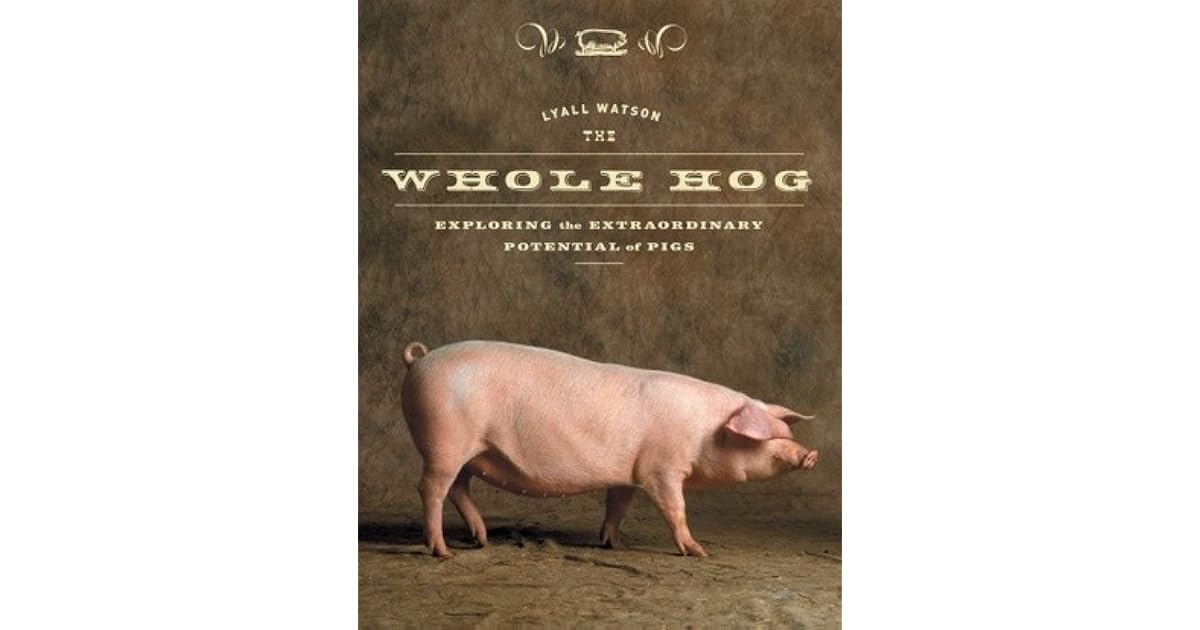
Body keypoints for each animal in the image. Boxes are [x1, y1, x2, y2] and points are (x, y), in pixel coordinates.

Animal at [399, 340, 819, 558]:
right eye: (768, 437)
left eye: (785, 431)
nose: (810, 454)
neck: (703, 430)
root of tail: (420, 359)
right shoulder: (661, 469)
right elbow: (675, 508)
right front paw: (697, 551)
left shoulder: (629, 474)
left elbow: (617, 506)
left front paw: (613, 543)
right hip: (444, 440)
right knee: (430, 488)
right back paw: (442, 552)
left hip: (469, 452)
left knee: (458, 488)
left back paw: (480, 539)